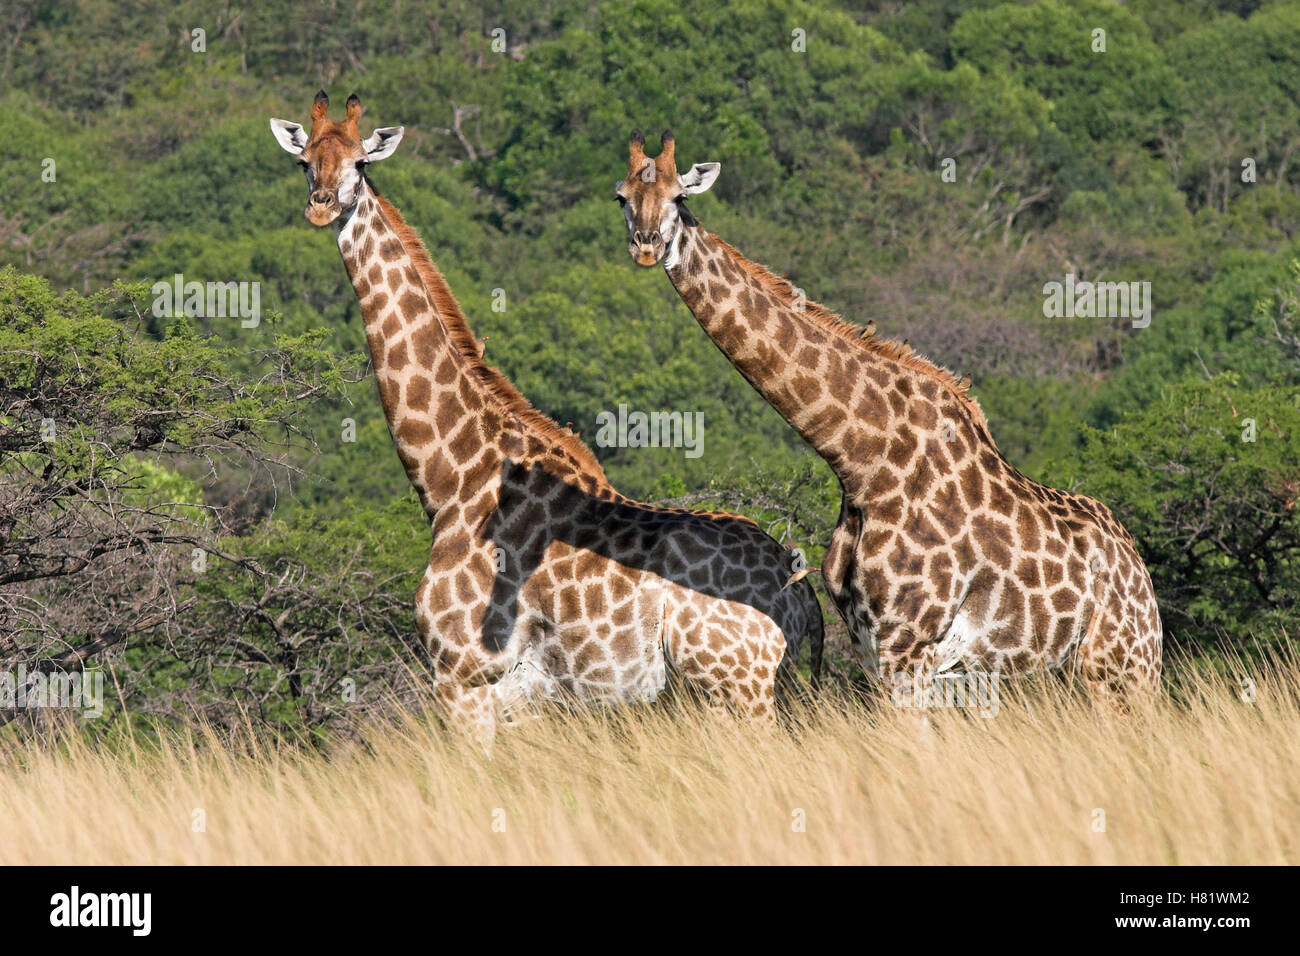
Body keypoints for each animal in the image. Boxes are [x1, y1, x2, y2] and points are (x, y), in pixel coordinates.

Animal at [268, 95, 823, 743]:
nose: (321, 204)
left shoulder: (464, 676)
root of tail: (800, 591)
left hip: (736, 683)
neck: (452, 476)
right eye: (305, 160)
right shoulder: (524, 699)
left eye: (359, 163)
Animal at [613, 130, 1161, 711]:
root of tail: (1140, 571)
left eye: (679, 197)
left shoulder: (908, 647)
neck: (861, 460)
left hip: (1124, 666)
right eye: (622, 197)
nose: (646, 246)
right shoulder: (871, 645)